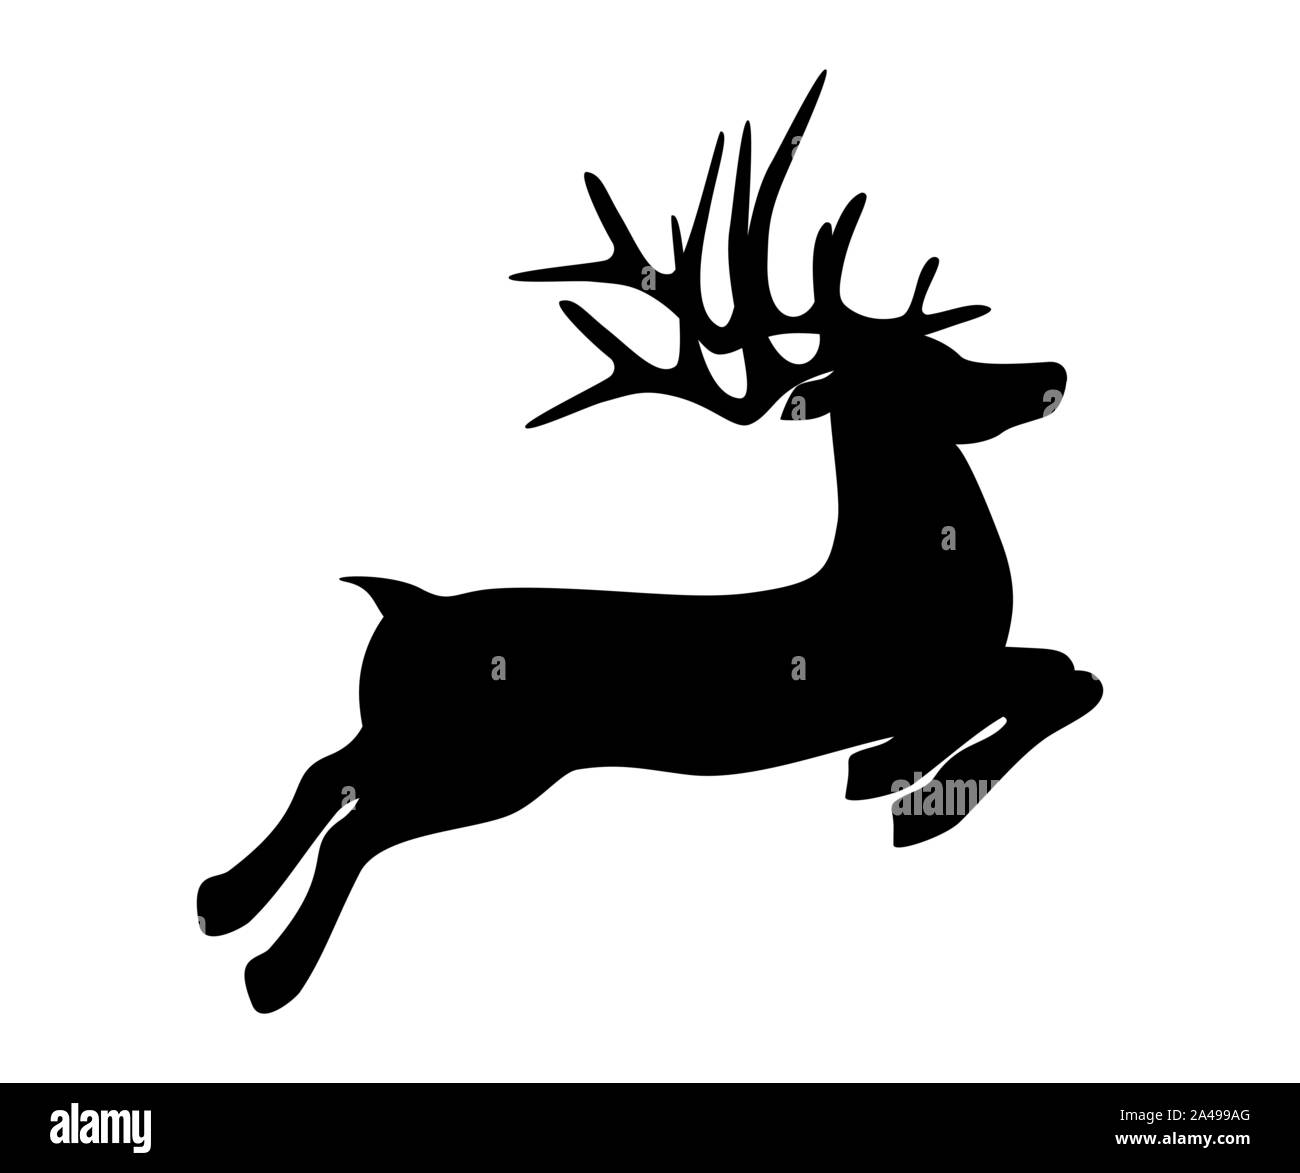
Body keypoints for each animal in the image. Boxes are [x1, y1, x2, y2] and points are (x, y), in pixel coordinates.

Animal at [197, 72, 1101, 1012]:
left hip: (408, 729)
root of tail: (407, 609)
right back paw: (271, 973)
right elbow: (1063, 677)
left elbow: (1056, 670)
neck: (911, 579)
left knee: (325, 769)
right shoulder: (916, 672)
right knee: (357, 823)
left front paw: (885, 768)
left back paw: (218, 899)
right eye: (932, 367)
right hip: (493, 759)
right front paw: (915, 799)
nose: (1051, 374)